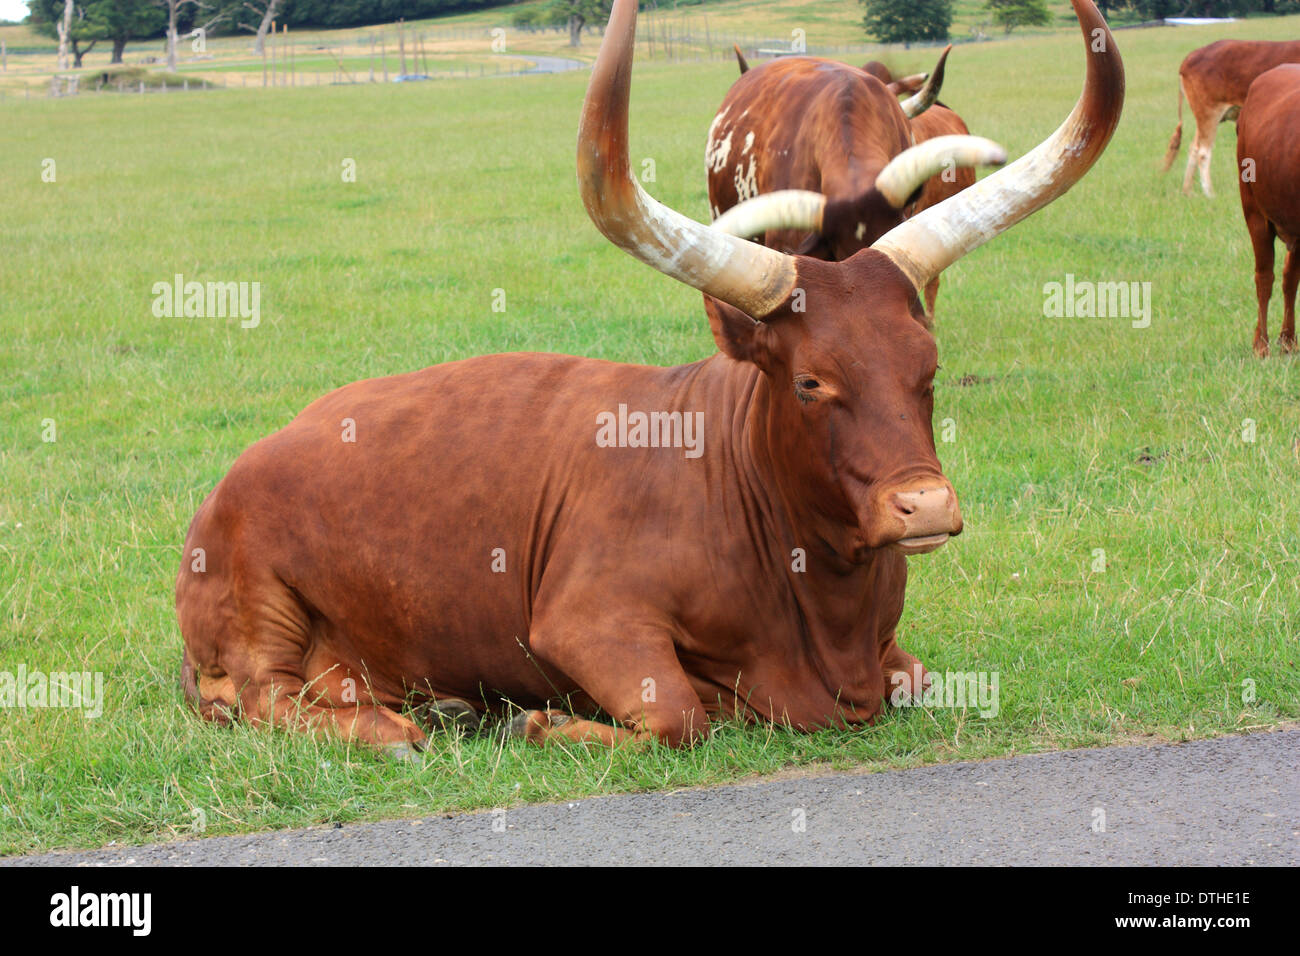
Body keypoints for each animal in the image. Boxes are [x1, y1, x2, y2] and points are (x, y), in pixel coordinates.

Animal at [1162, 39, 1300, 197]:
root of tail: (1190, 58)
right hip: (1209, 113)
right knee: (1203, 152)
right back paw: (1210, 194)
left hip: (1204, 117)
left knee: (1194, 148)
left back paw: (1188, 191)